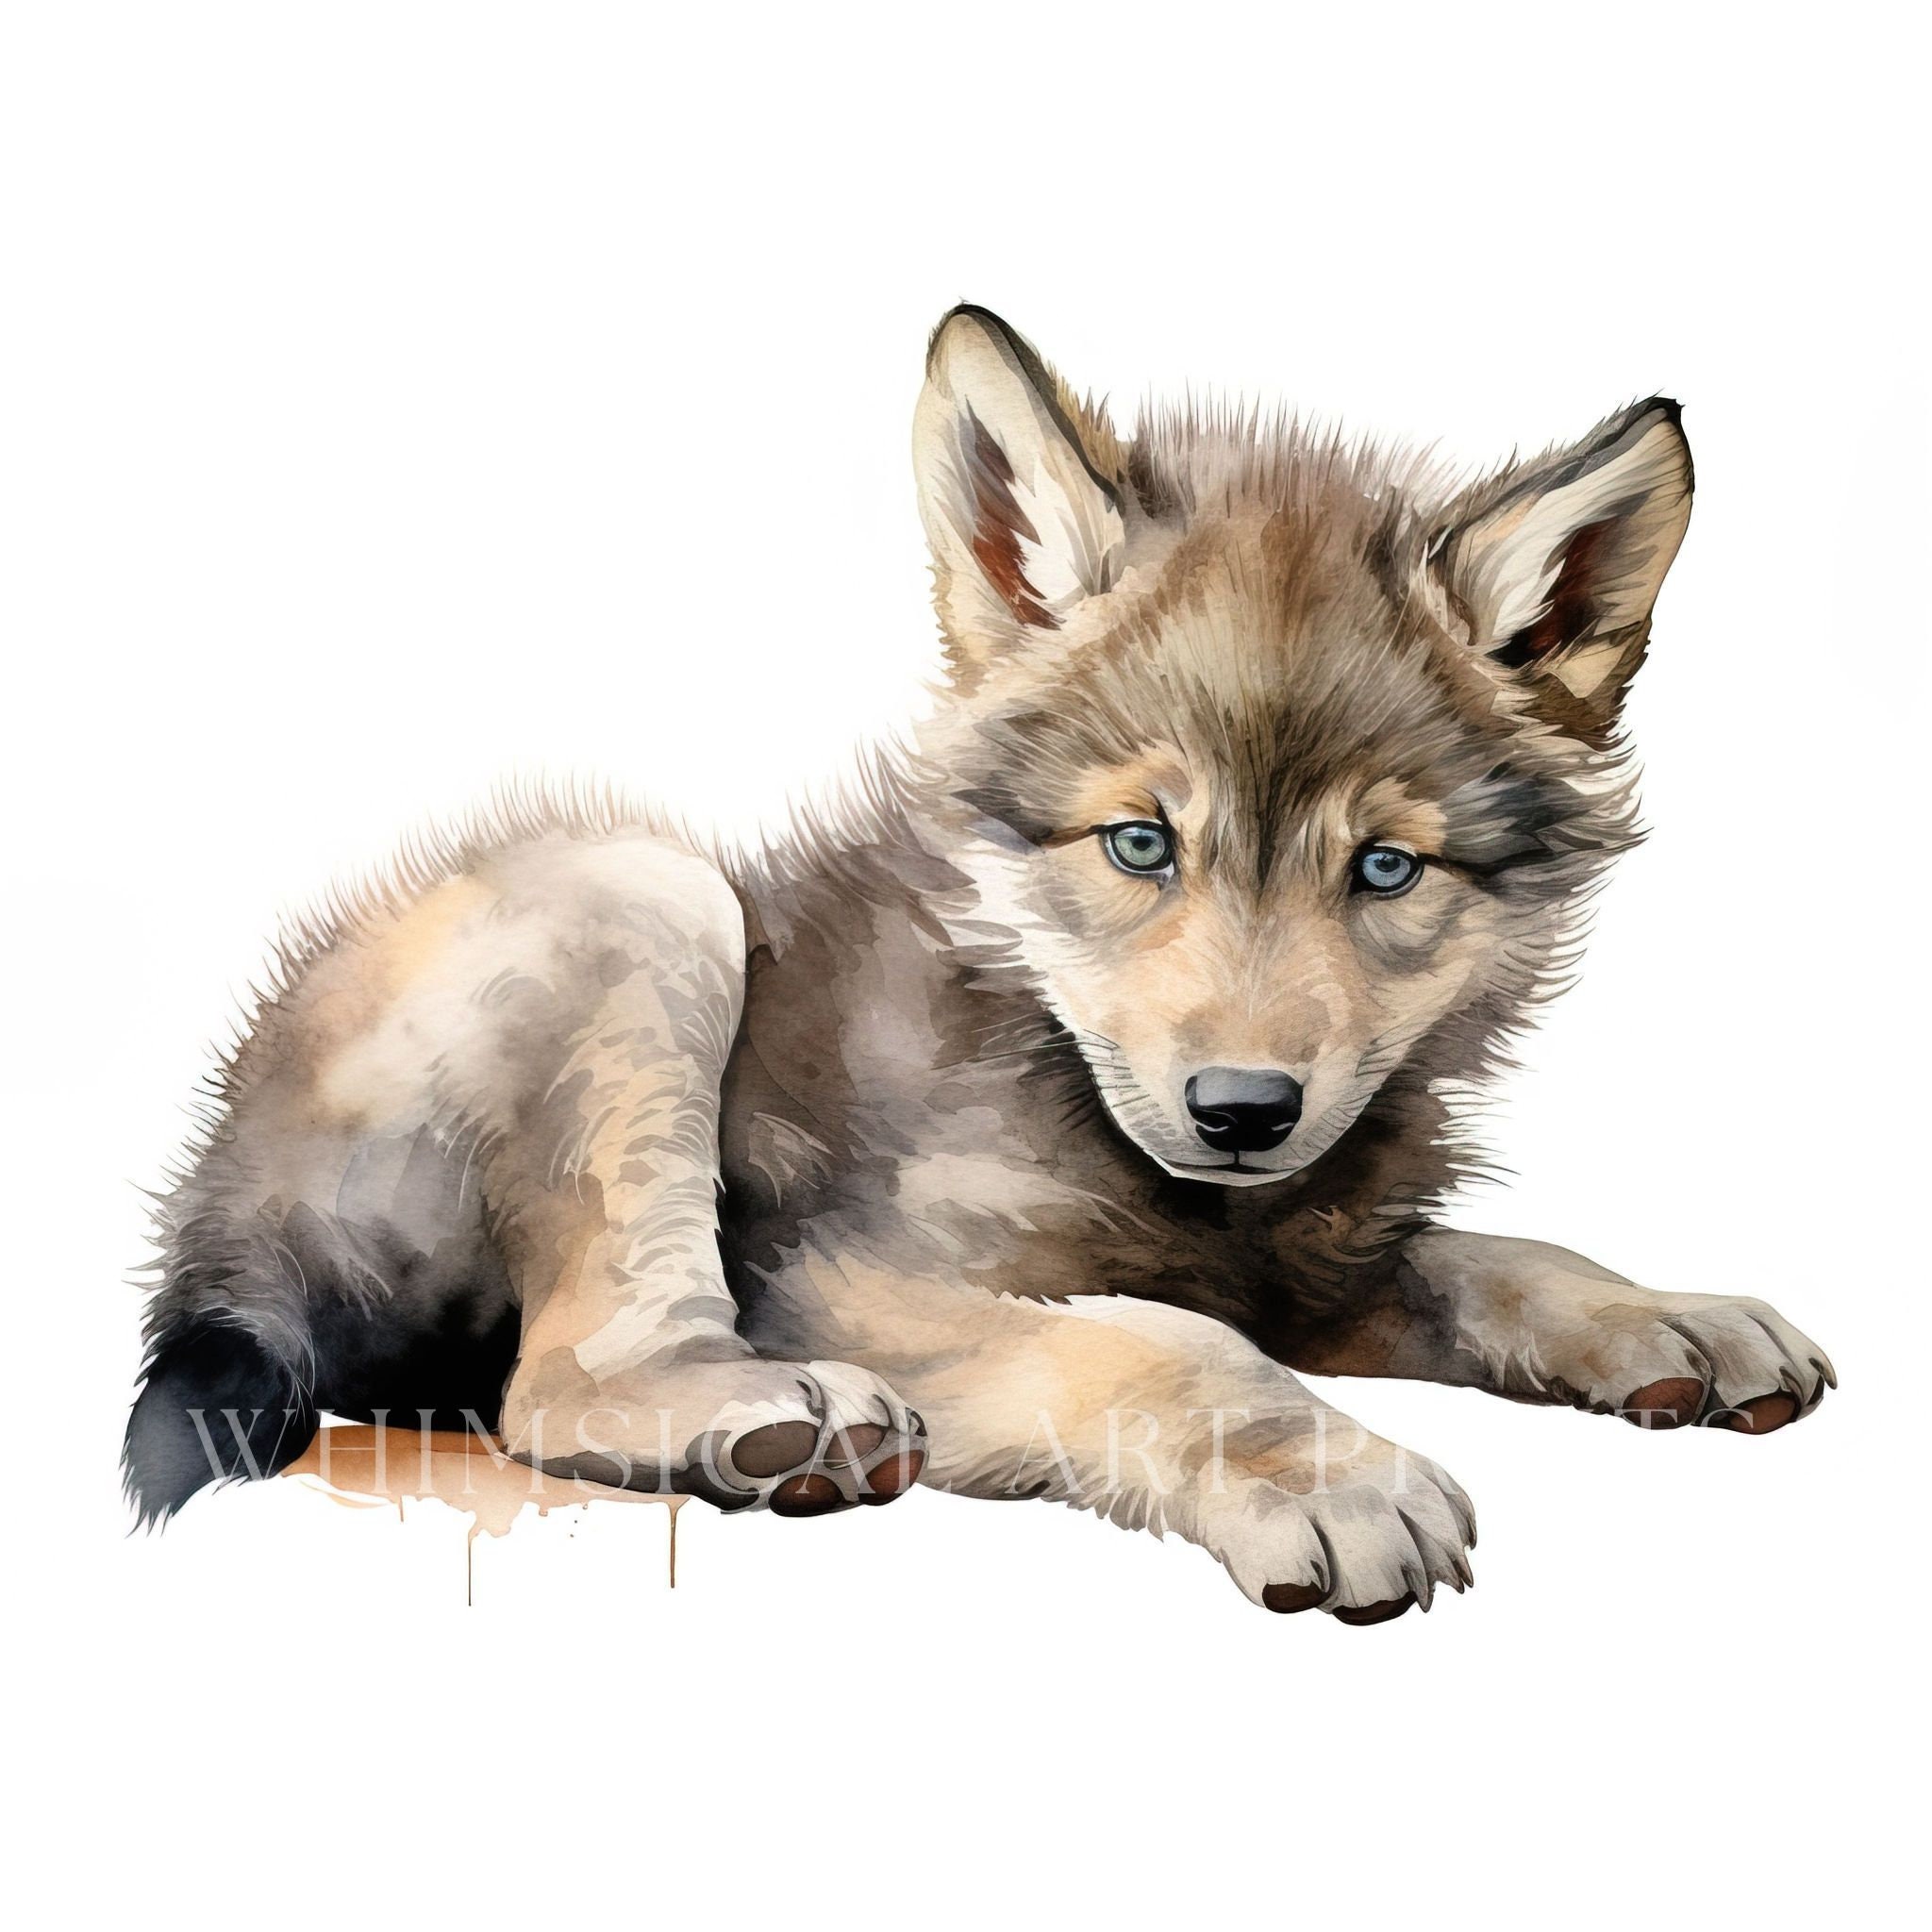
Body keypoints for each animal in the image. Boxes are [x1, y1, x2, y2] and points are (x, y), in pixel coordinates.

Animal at [125, 304, 1833, 1622]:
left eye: (1384, 868)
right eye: (1139, 844)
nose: (1241, 1110)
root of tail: (211, 1217)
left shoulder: (1317, 1256)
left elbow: (1475, 1254)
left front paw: (1665, 1314)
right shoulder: (842, 1272)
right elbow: (1162, 1342)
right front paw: (1327, 1470)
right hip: (642, 892)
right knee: (545, 1393)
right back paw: (777, 1423)